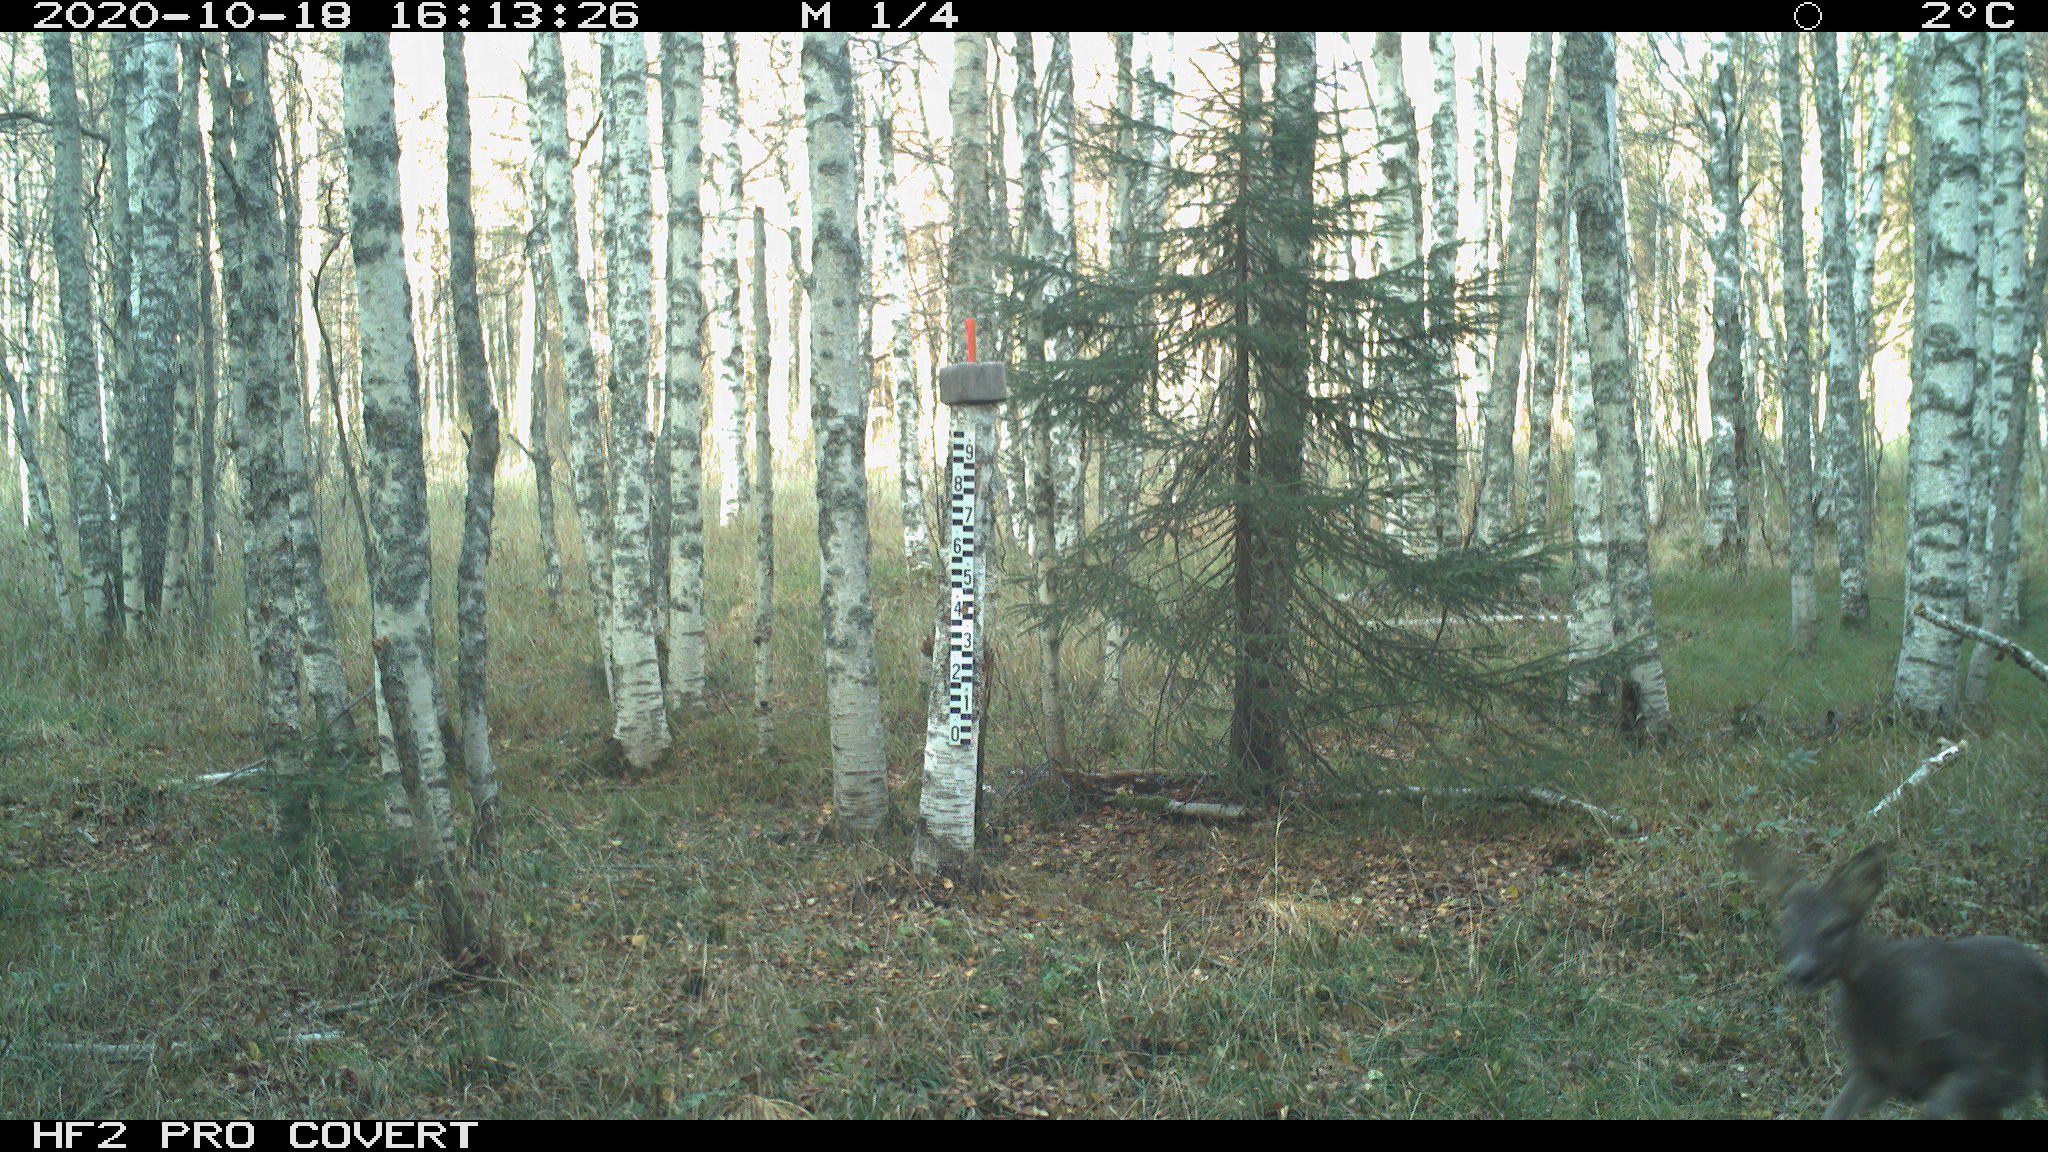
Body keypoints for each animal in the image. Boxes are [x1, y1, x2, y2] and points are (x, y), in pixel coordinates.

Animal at [1735, 840, 2048, 1119]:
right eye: (1786, 924)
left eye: (1836, 926)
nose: (1800, 972)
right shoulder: (1874, 1072)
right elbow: (1834, 1111)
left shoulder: (1979, 1061)